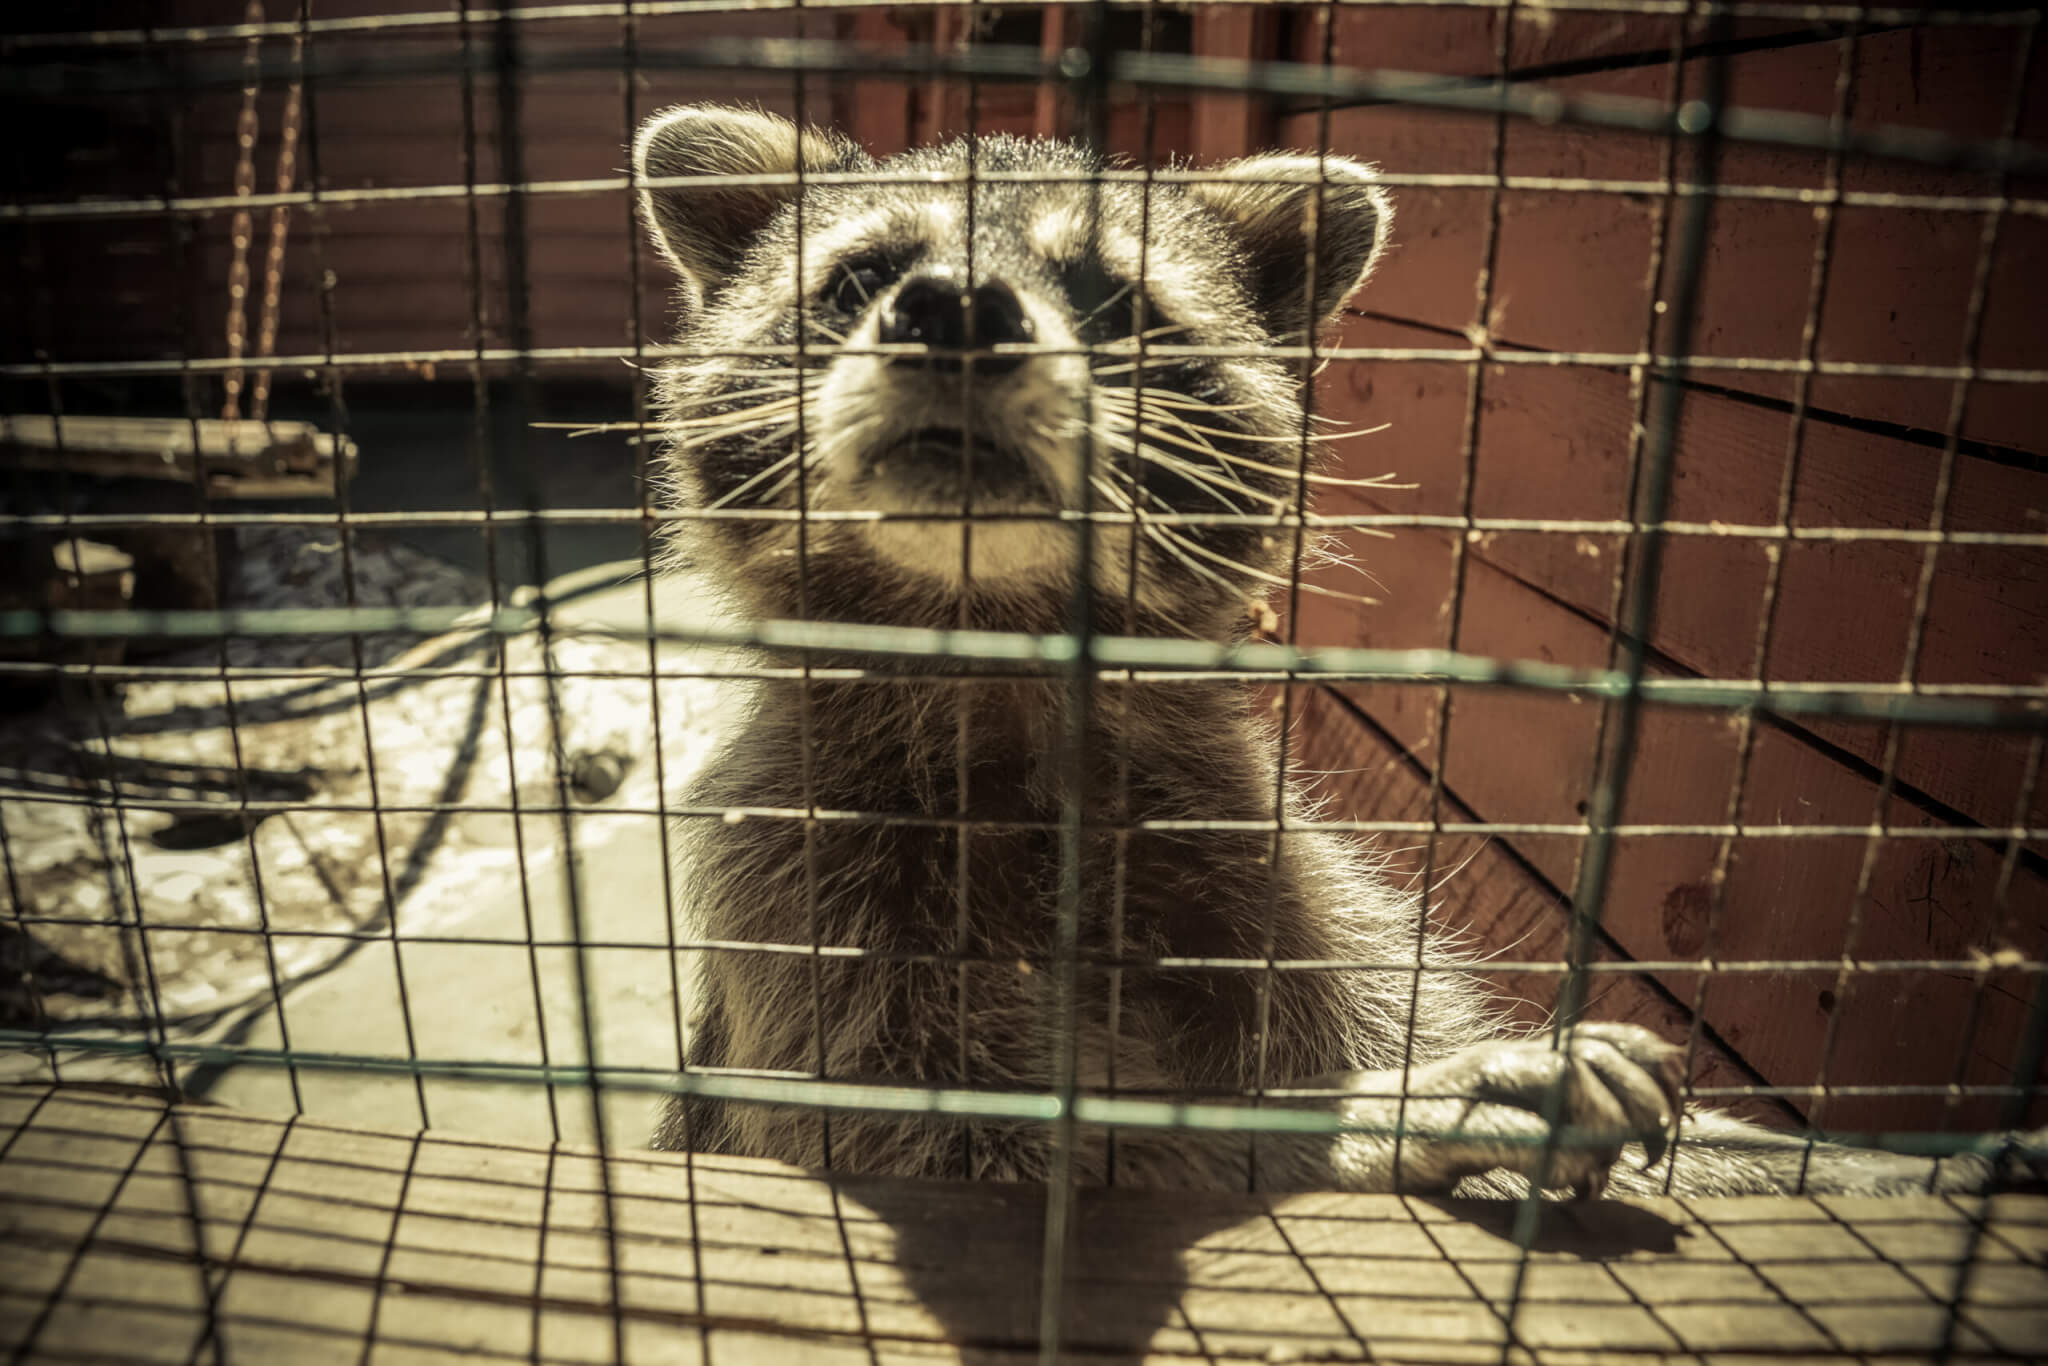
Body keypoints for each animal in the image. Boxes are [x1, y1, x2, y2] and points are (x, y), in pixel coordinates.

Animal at [633, 104, 2021, 1197]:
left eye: (1105, 297)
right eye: (858, 278)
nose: (952, 312)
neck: (993, 636)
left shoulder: (1248, 864)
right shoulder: (800, 883)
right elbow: (940, 1131)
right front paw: (1351, 1118)